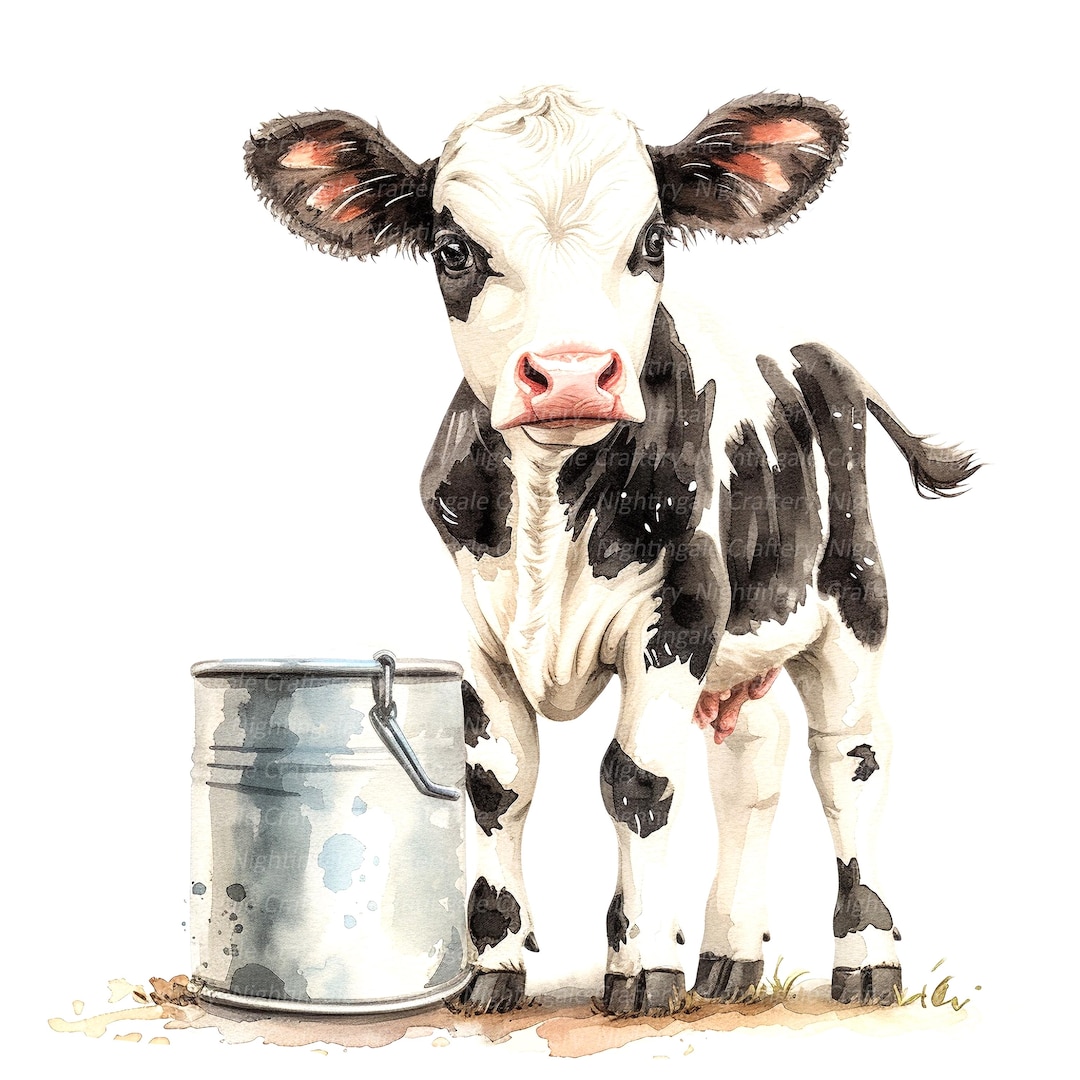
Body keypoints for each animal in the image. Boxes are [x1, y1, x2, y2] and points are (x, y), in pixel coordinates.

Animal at [244, 87, 977, 1017]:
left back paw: (867, 960)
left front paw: (644, 965)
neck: (549, 513)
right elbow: (496, 785)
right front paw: (495, 968)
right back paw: (731, 958)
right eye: (453, 249)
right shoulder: (477, 634)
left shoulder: (681, 612)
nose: (569, 373)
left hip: (852, 597)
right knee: (756, 754)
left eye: (653, 240)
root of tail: (815, 352)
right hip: (743, 645)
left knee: (848, 759)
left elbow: (638, 781)